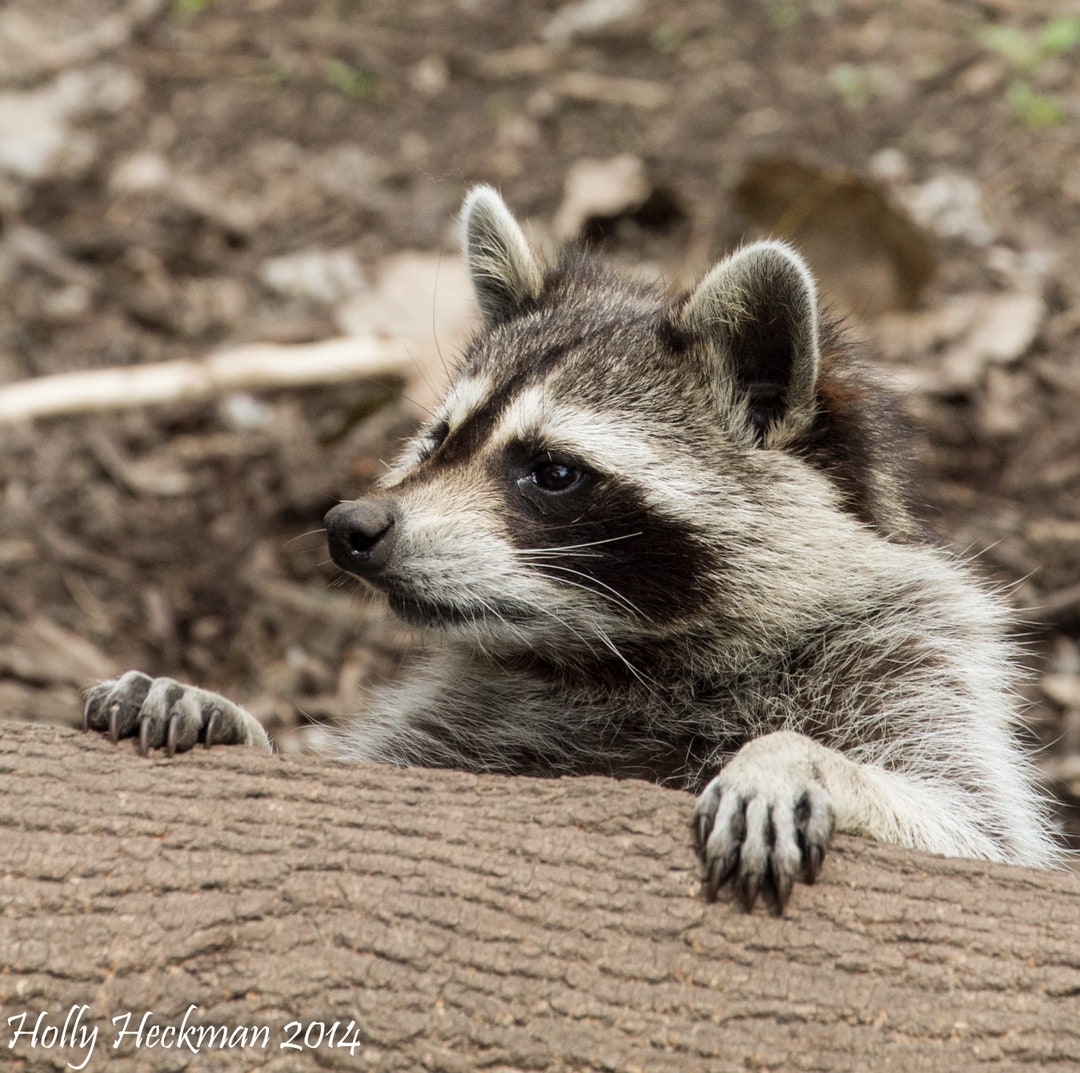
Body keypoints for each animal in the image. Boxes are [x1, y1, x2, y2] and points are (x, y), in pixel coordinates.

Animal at [85, 186, 1061, 913]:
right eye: (440, 439)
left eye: (551, 472)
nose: (352, 527)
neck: (619, 659)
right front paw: (242, 722)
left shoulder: (908, 657)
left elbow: (981, 837)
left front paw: (799, 756)